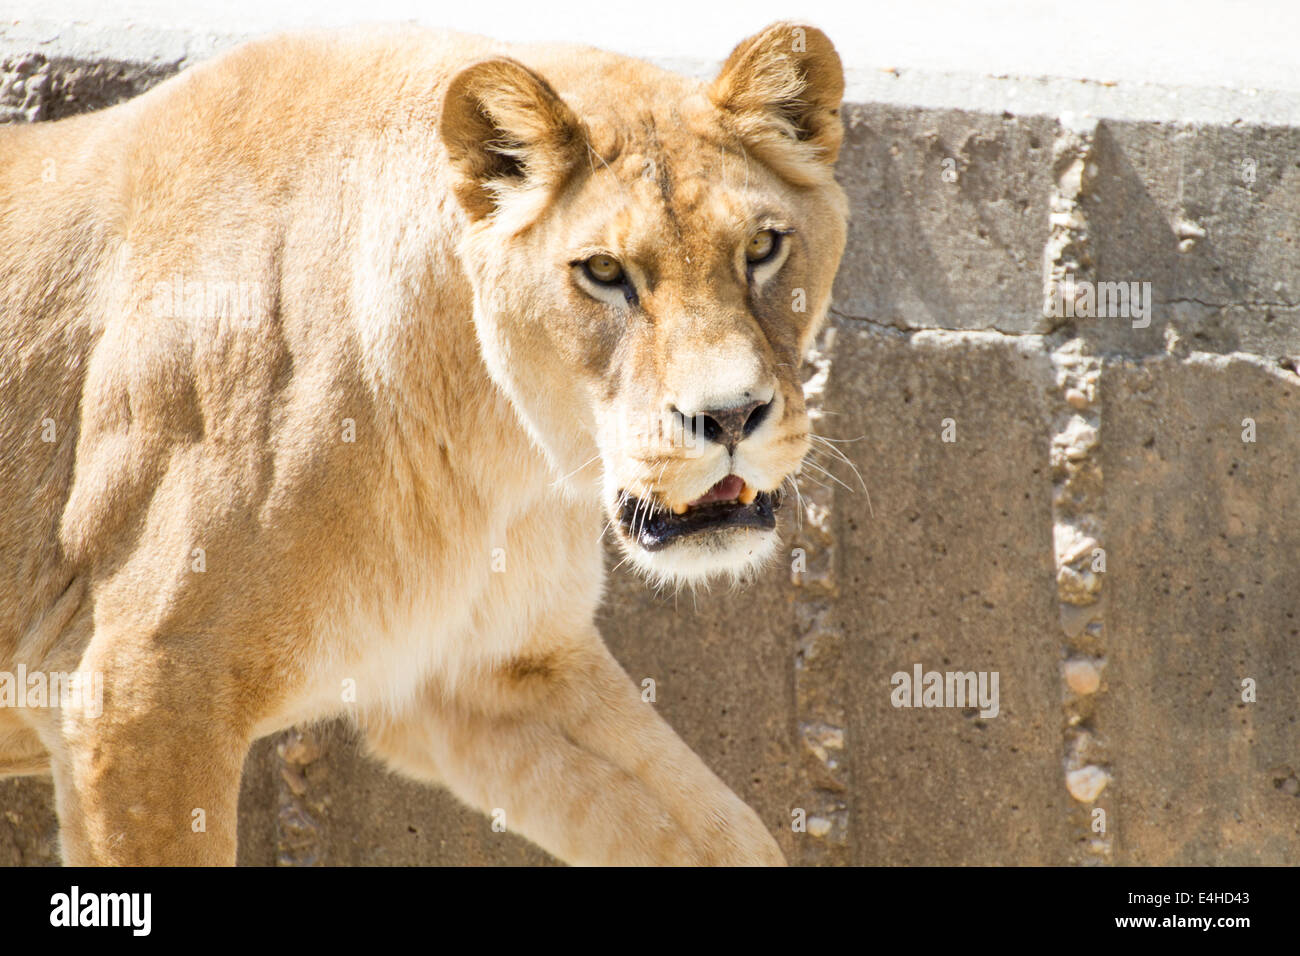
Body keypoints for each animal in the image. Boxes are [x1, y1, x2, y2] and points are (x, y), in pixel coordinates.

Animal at [0, 20, 848, 865]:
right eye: (604, 270)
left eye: (763, 247)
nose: (731, 416)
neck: (502, 456)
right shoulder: (139, 691)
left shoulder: (491, 674)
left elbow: (727, 835)